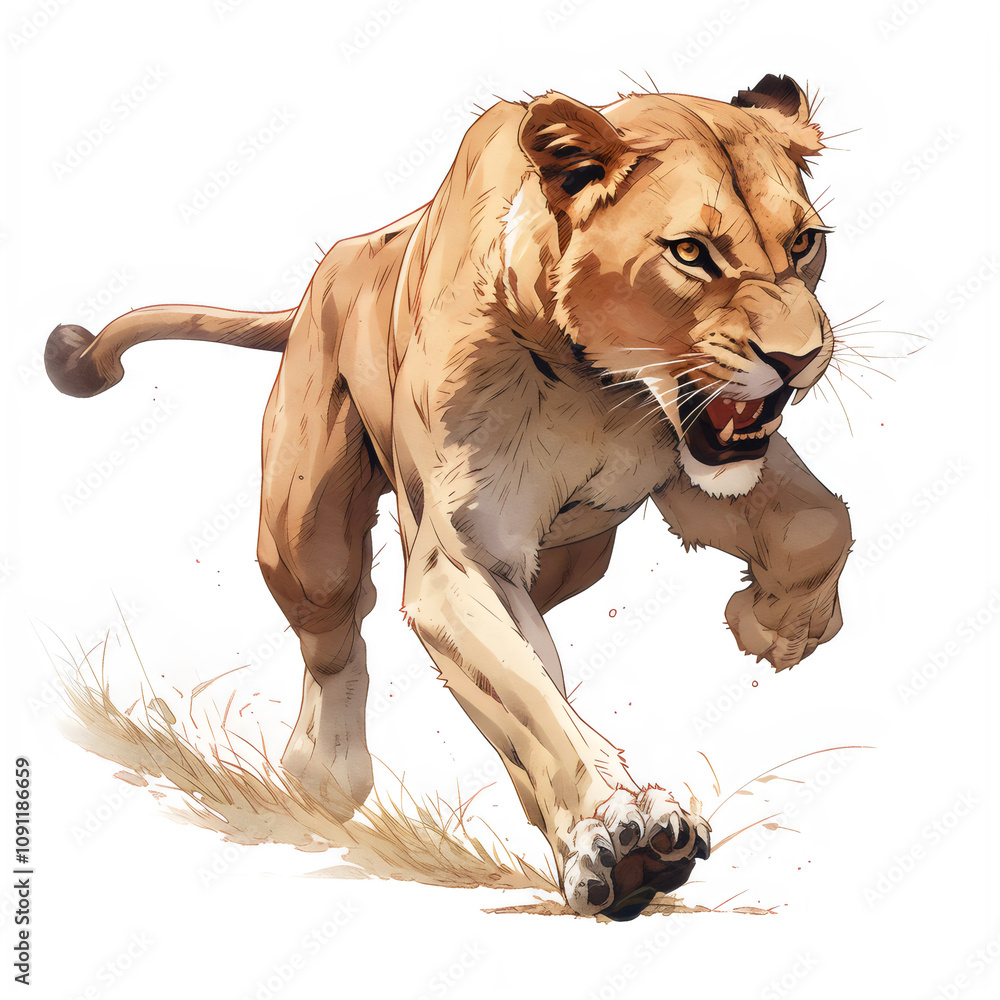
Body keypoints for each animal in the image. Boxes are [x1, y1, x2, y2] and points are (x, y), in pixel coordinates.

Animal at [45, 73, 853, 920]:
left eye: (804, 243)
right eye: (691, 252)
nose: (799, 359)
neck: (606, 391)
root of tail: (332, 265)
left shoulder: (690, 467)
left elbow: (821, 521)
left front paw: (779, 626)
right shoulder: (461, 559)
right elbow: (532, 700)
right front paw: (621, 833)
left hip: (571, 559)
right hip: (306, 536)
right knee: (337, 637)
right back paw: (323, 777)